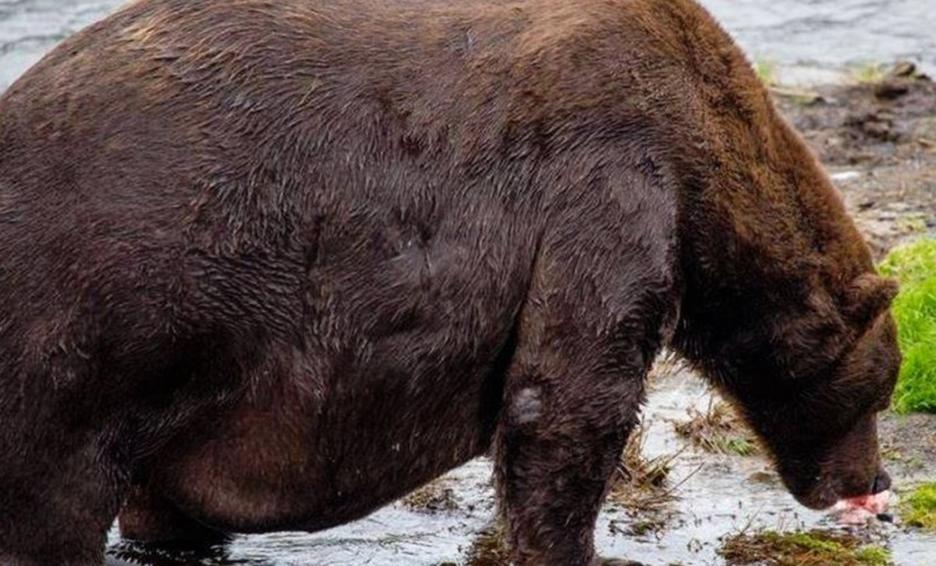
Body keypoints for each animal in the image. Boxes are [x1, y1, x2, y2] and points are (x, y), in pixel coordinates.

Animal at [0, 0, 900, 564]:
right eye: (881, 390)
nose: (878, 483)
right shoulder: (610, 184)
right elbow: (568, 400)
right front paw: (573, 547)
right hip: (90, 320)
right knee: (54, 503)